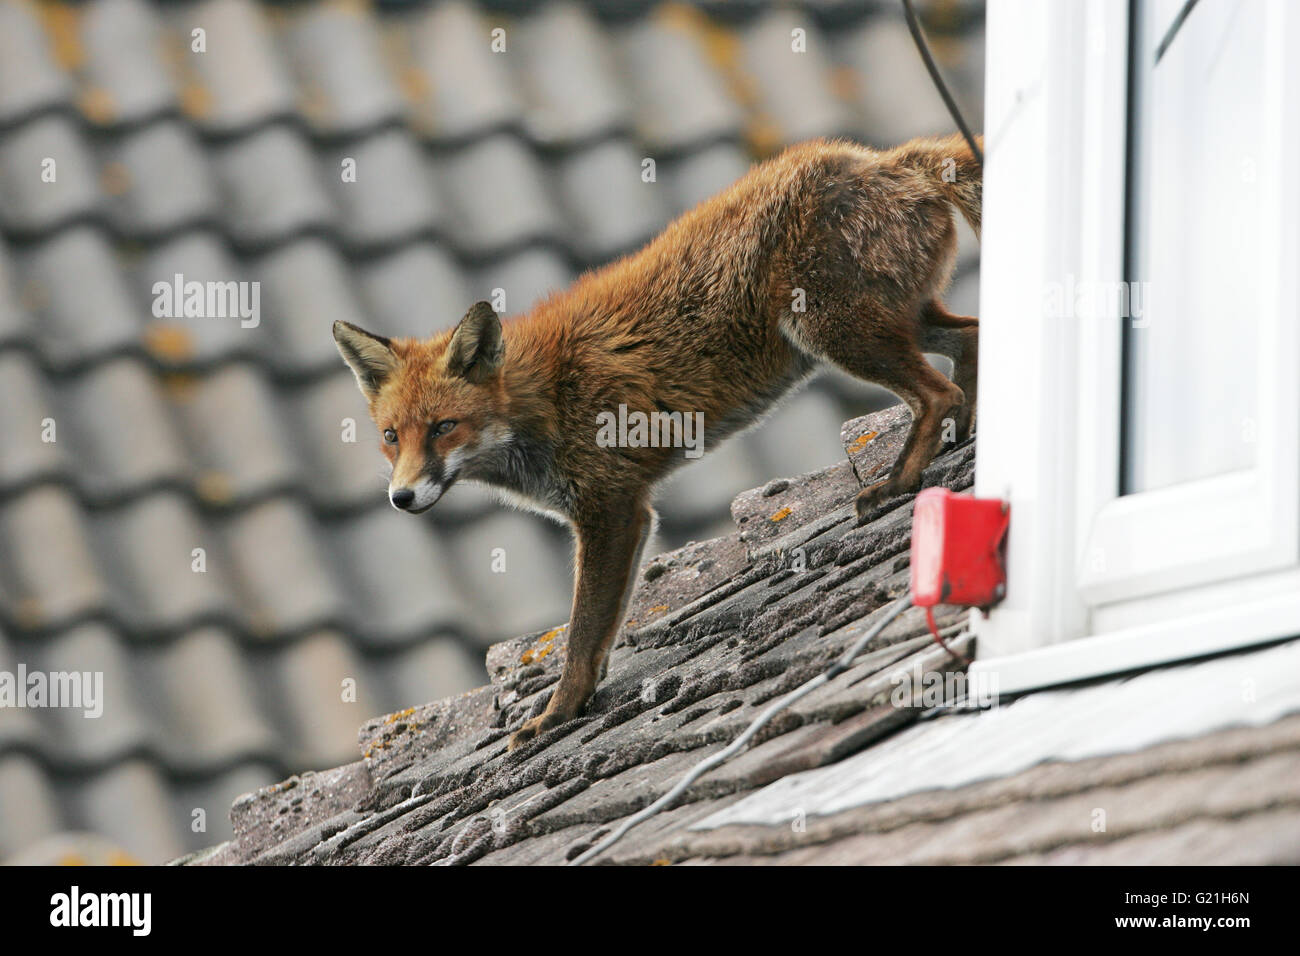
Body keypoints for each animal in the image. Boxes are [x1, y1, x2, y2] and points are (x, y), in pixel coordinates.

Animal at [333, 133, 982, 751]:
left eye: (443, 428)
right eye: (391, 437)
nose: (400, 498)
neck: (544, 400)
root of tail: (882, 159)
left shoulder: (611, 510)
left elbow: (581, 634)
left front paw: (556, 714)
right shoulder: (628, 514)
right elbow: (599, 636)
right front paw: (576, 702)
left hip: (837, 330)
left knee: (938, 393)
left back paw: (898, 482)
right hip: (896, 322)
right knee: (971, 341)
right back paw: (959, 439)